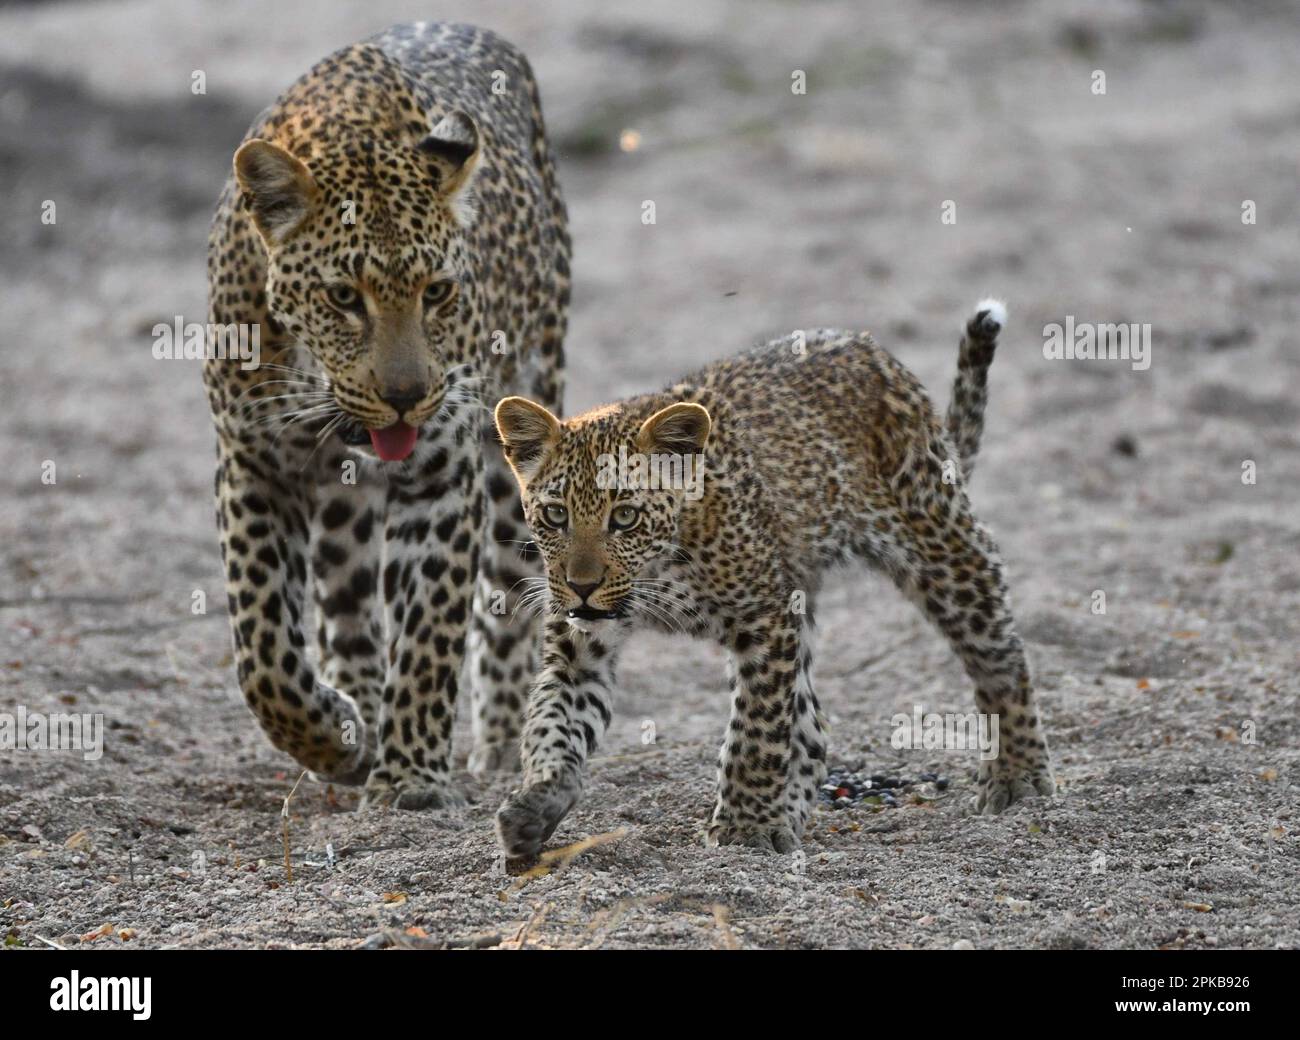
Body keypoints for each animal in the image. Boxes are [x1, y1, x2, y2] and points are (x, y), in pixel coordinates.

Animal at [203, 22, 569, 808]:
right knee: (347, 615)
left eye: (438, 292)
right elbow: (263, 648)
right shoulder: (252, 463)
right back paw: (357, 722)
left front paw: (410, 779)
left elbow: (430, 631)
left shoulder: (440, 477)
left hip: (523, 423)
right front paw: (332, 738)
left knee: (509, 594)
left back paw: (498, 747)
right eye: (344, 297)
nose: (407, 395)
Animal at [492, 301, 1056, 858]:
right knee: (813, 729)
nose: (582, 586)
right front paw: (535, 806)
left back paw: (1017, 775)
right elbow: (554, 724)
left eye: (625, 517)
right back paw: (793, 815)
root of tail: (871, 348)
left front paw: (745, 827)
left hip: (938, 542)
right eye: (556, 515)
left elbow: (756, 730)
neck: (657, 569)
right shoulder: (579, 649)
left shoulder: (764, 618)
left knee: (998, 656)